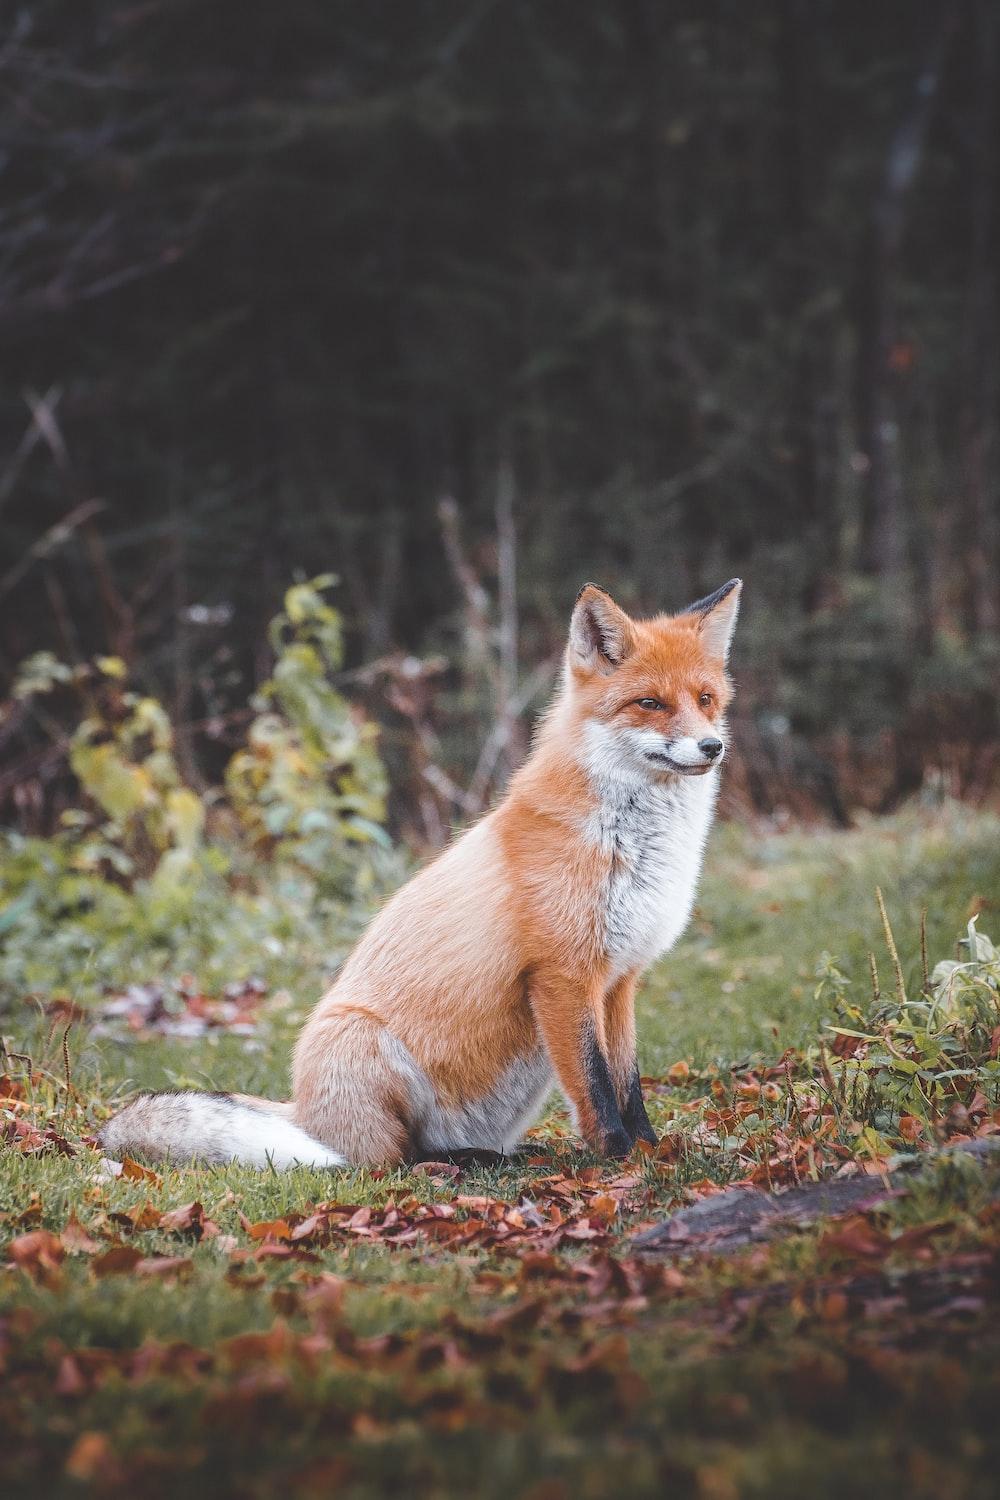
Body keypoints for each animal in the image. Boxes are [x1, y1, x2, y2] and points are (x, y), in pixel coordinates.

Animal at [100, 578, 741, 1170]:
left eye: (706, 698)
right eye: (650, 704)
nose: (712, 747)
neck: (636, 849)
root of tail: (303, 1114)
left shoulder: (620, 978)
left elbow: (628, 1085)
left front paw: (652, 1153)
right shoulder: (563, 976)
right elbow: (597, 1090)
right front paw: (620, 1162)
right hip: (362, 1046)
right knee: (392, 1161)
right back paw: (460, 1164)